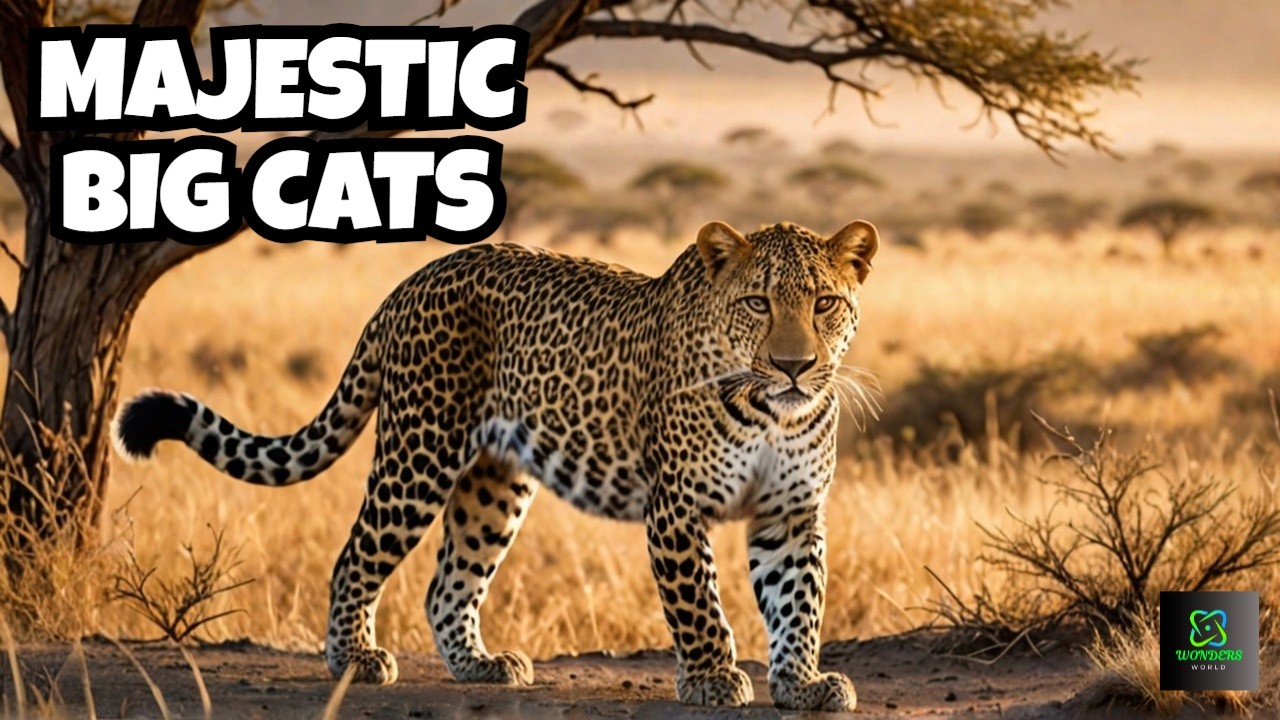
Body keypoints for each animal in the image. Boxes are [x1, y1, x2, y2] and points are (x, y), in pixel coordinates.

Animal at [112, 218, 879, 711]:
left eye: (825, 303)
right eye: (757, 302)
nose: (794, 365)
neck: (773, 412)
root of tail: (413, 278)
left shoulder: (790, 514)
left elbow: (799, 601)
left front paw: (803, 682)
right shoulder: (677, 508)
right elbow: (699, 602)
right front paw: (714, 677)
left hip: (493, 482)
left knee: (447, 584)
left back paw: (479, 665)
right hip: (418, 453)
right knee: (355, 556)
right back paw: (354, 659)